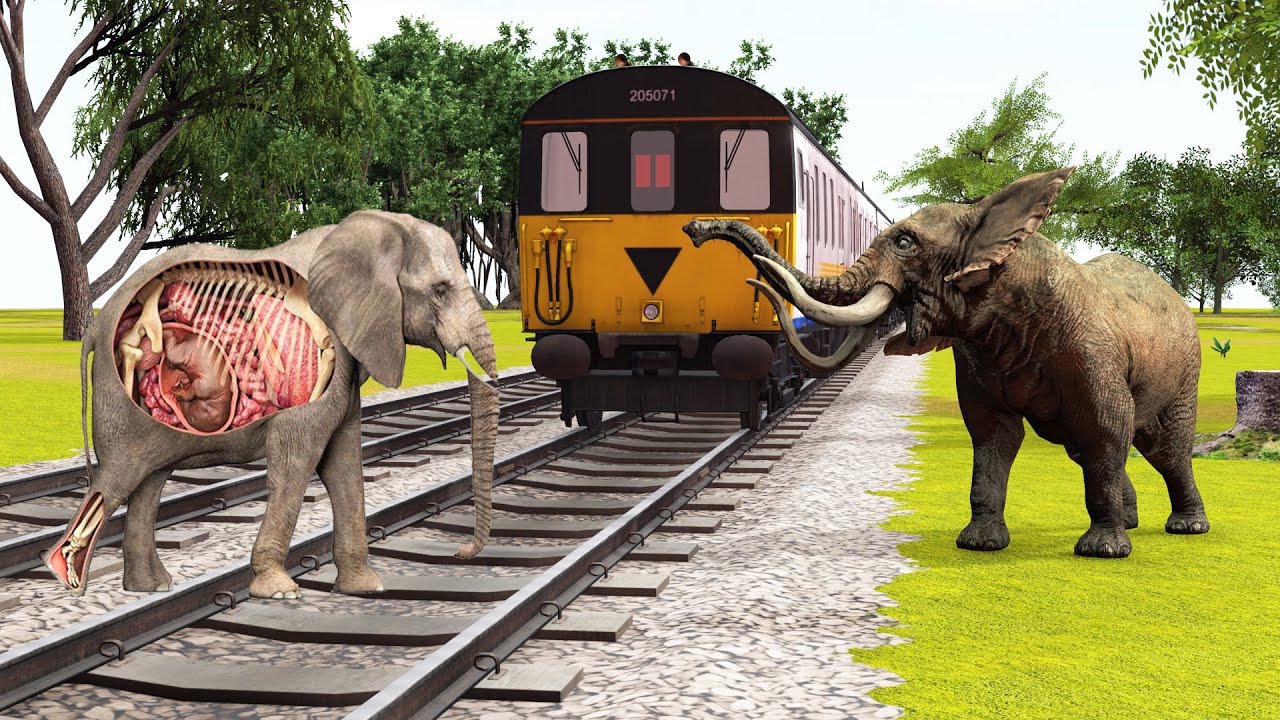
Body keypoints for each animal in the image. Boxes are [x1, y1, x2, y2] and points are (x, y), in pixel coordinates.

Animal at [44, 209, 499, 599]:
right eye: (439, 291)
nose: (459, 554)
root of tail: (97, 325)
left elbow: (344, 464)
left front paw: (366, 587)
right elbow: (297, 460)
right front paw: (279, 590)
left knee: (148, 482)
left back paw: (151, 587)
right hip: (119, 399)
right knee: (116, 480)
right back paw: (70, 582)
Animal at [683, 168, 1209, 558]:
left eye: (905, 243)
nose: (695, 229)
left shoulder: (1091, 350)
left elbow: (1105, 424)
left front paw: (1101, 552)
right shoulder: (977, 355)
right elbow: (993, 433)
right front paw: (978, 545)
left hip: (1186, 369)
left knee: (1161, 447)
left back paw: (1185, 528)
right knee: (1091, 447)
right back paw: (1133, 520)